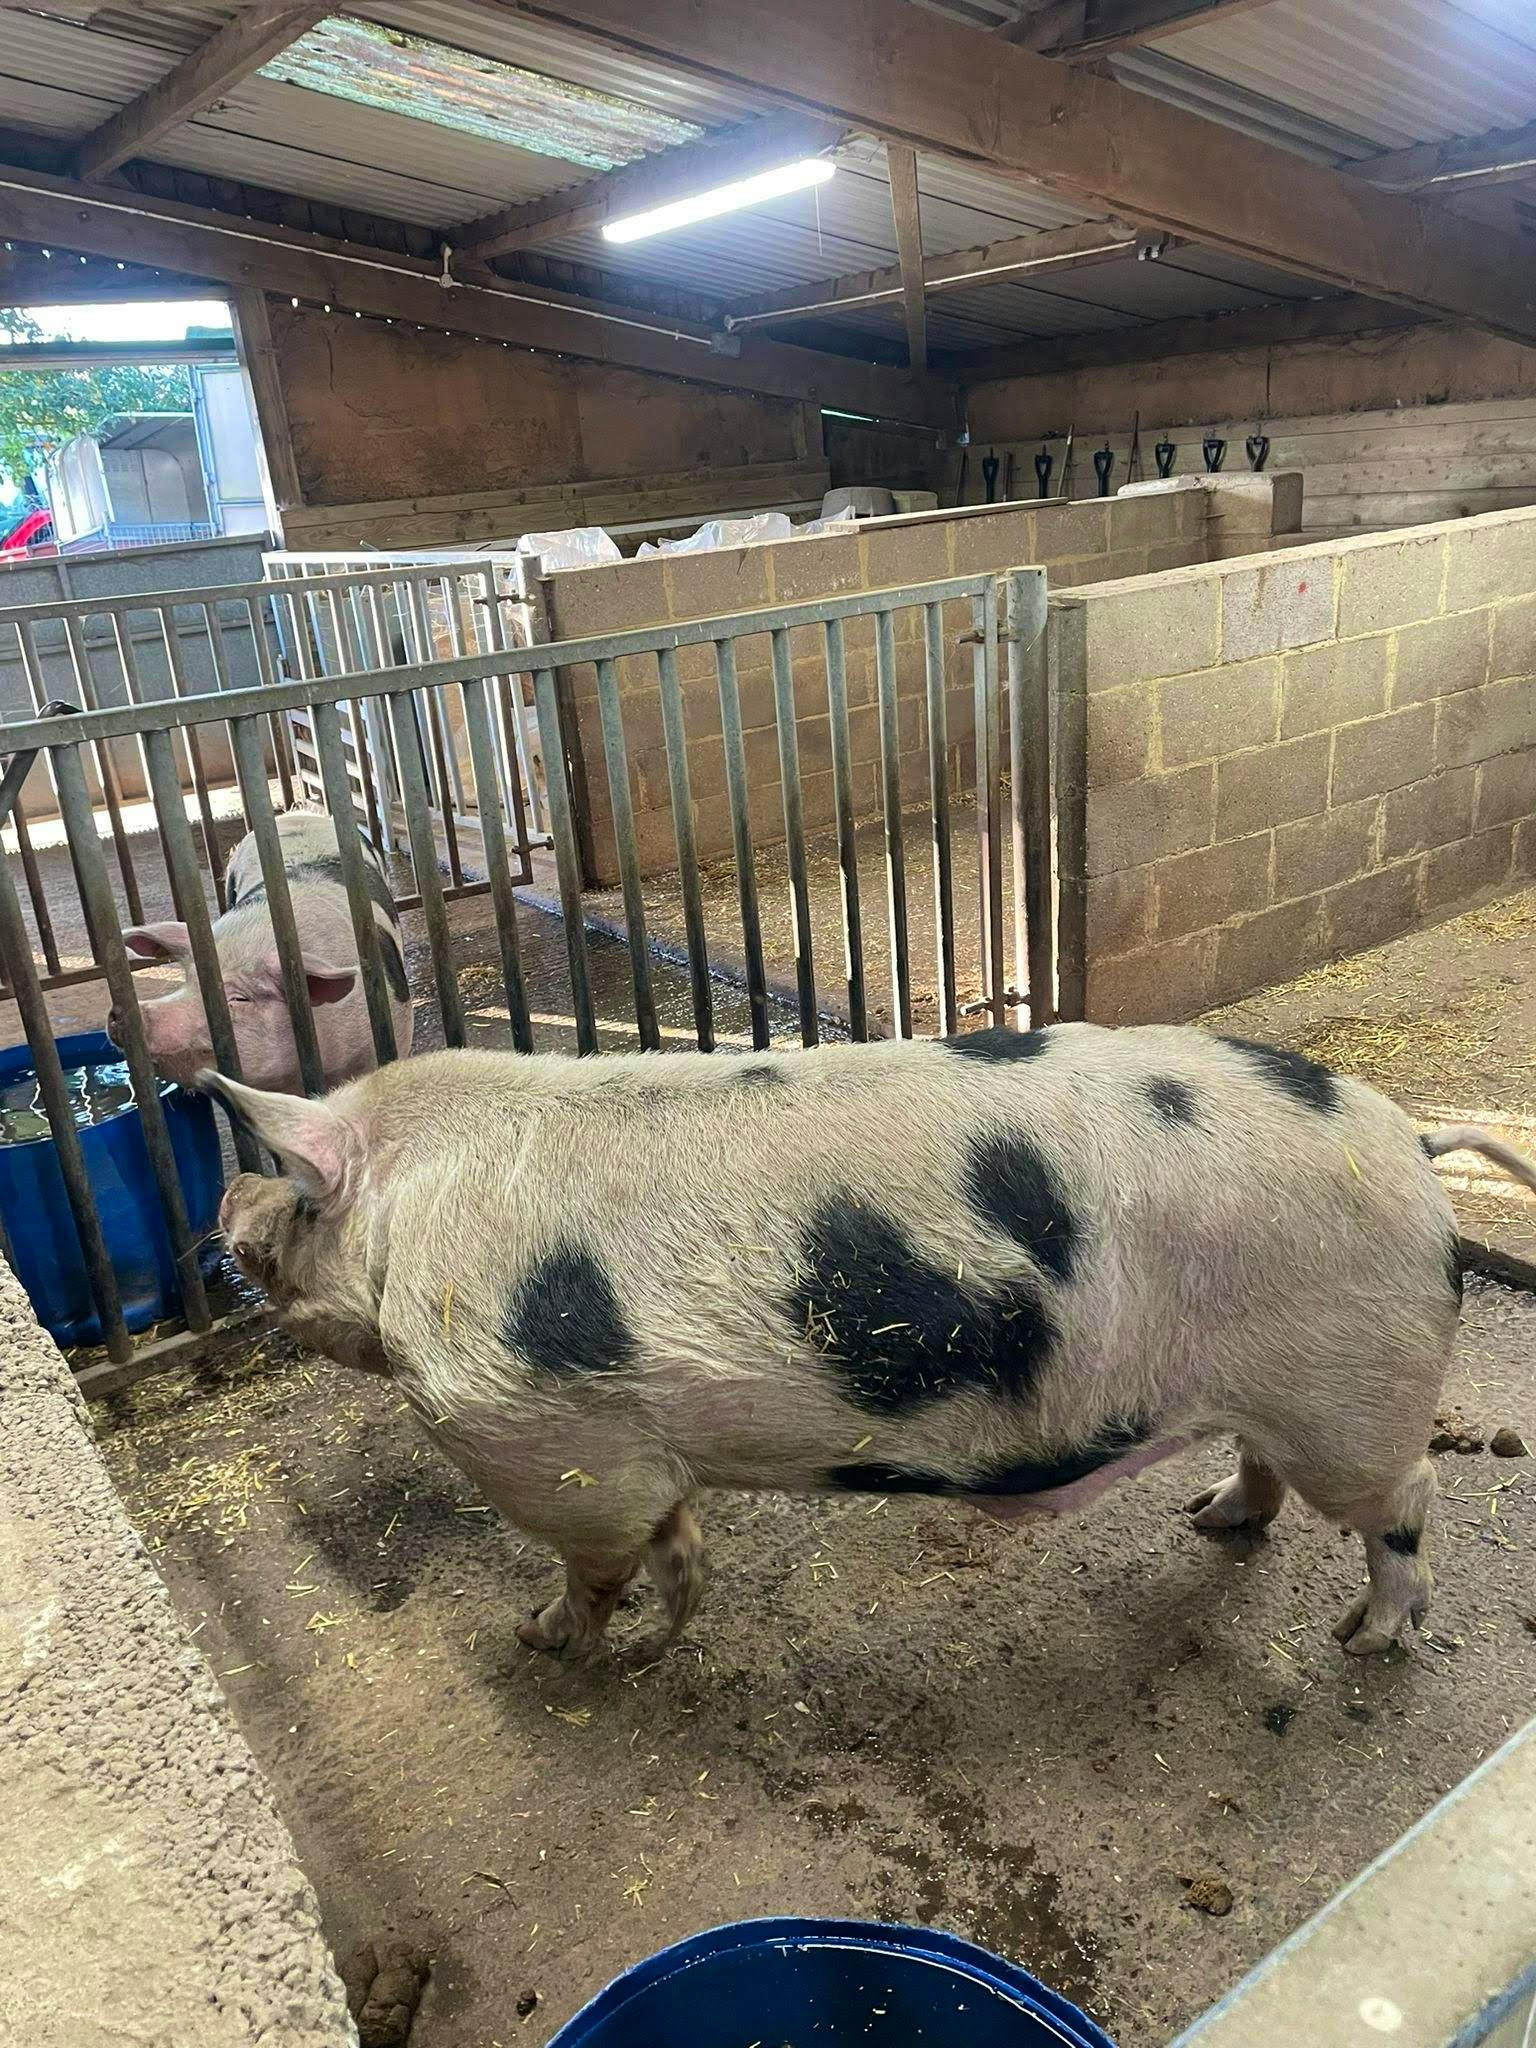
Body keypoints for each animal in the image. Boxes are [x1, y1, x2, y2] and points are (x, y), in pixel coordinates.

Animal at [204, 1024, 1536, 1665]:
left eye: (299, 1198)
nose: (228, 1198)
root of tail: (1414, 1141)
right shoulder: (638, 1455)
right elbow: (675, 1544)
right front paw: (666, 1632)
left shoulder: (552, 1450)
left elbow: (599, 1566)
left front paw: (539, 1641)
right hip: (1280, 1393)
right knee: (1263, 1471)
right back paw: (1211, 1517)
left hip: (1353, 1395)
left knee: (1405, 1506)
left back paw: (1368, 1640)